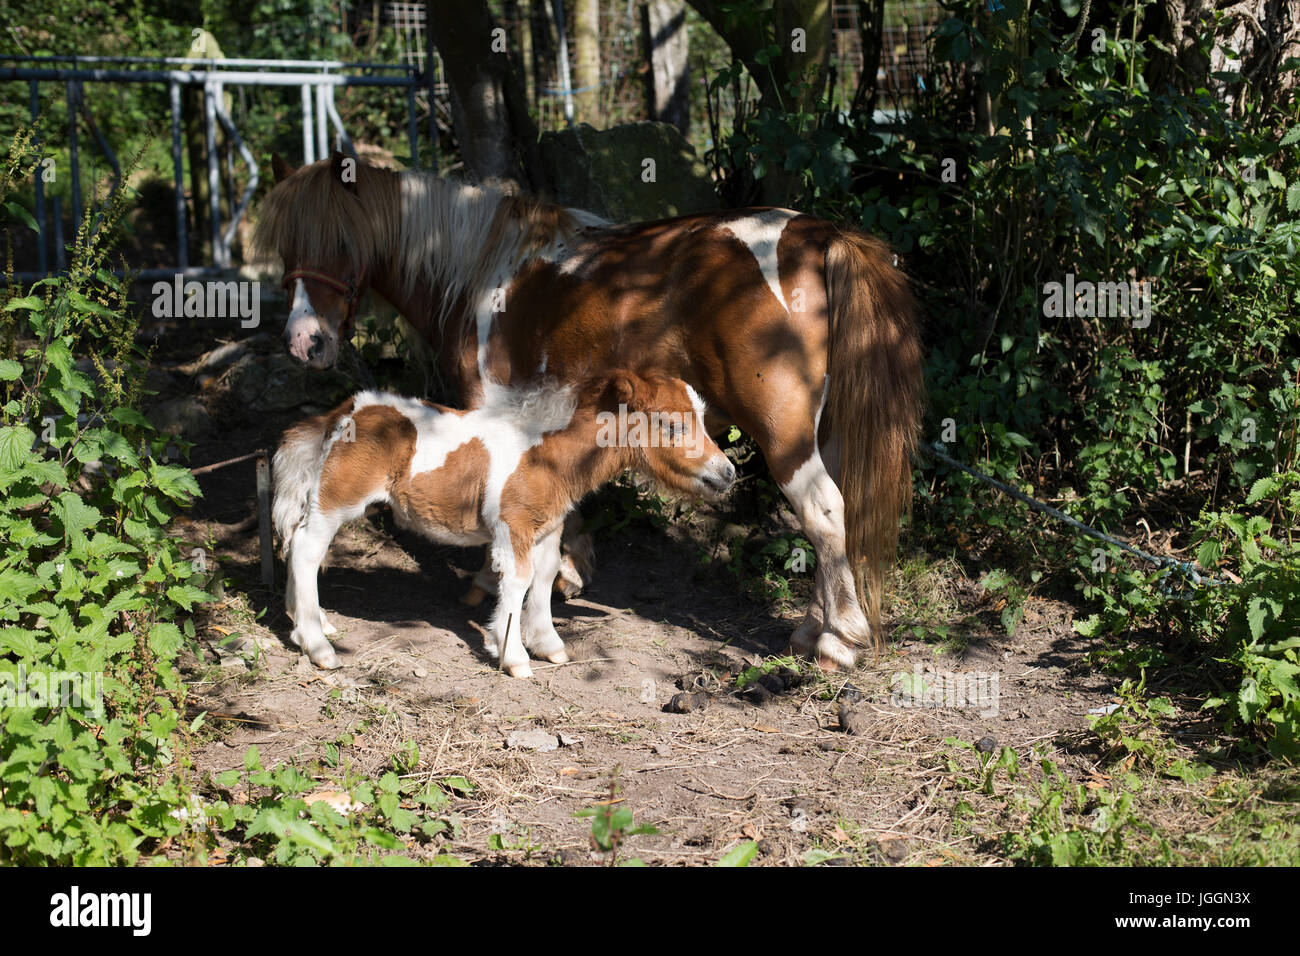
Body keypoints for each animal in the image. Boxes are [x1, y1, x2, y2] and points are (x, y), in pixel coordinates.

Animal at [272, 370, 735, 676]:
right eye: (671, 425)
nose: (727, 472)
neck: (548, 455)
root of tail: (347, 410)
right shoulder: (513, 526)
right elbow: (517, 581)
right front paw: (513, 655)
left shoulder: (547, 527)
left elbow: (545, 576)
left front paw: (548, 643)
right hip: (339, 499)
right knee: (306, 549)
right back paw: (318, 645)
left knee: (299, 544)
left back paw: (306, 624)